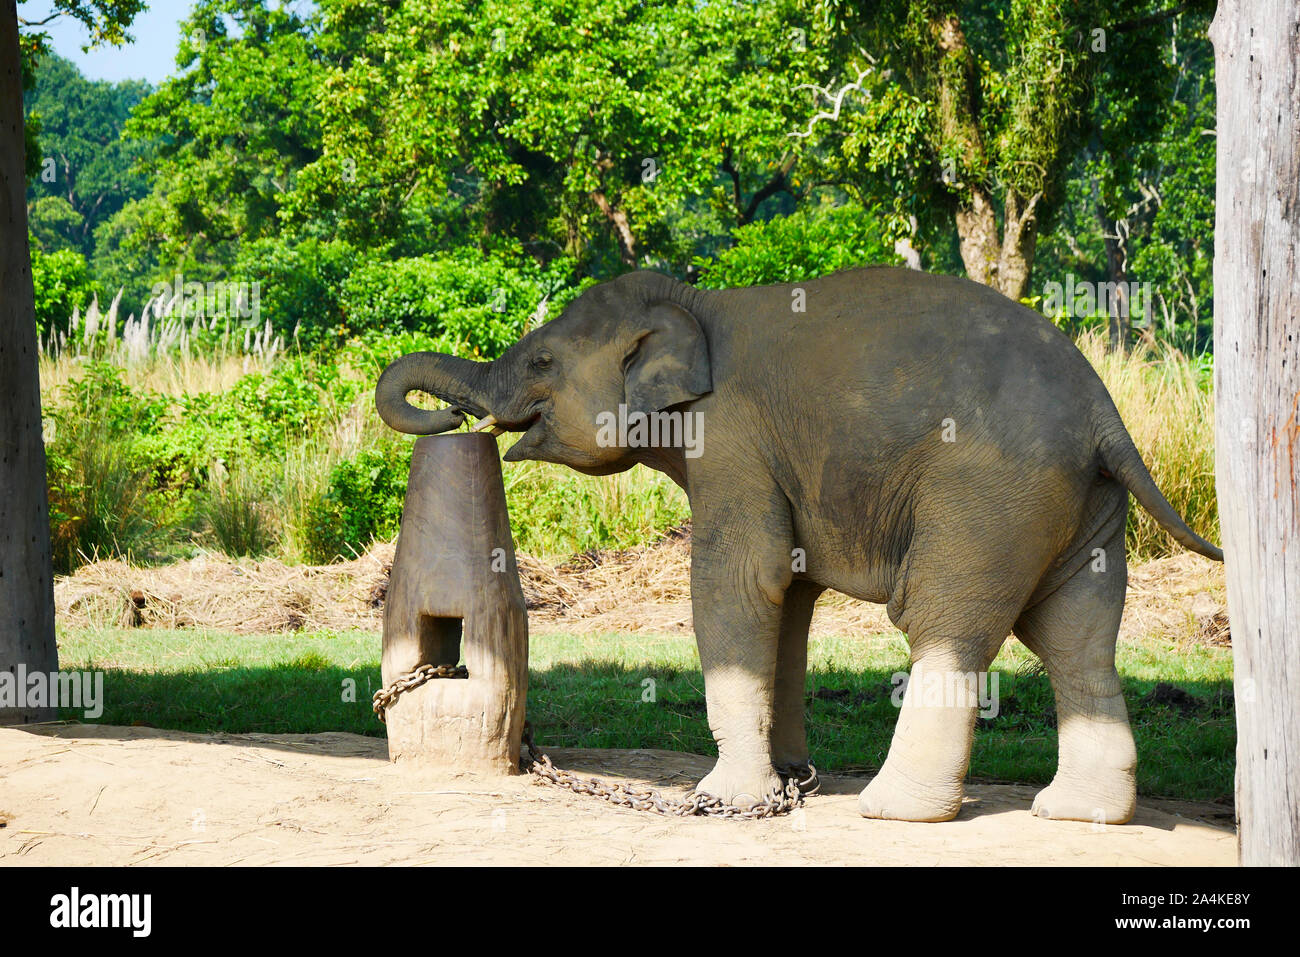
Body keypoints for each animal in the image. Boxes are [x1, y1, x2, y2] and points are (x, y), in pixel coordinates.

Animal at [374, 267, 1223, 824]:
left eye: (543, 361)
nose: (457, 421)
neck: (696, 301)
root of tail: (1103, 412)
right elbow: (791, 593)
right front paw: (787, 781)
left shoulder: (732, 437)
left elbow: (741, 577)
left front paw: (725, 800)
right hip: (1086, 505)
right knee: (1079, 637)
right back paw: (1078, 815)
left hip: (989, 494)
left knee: (945, 619)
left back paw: (894, 810)